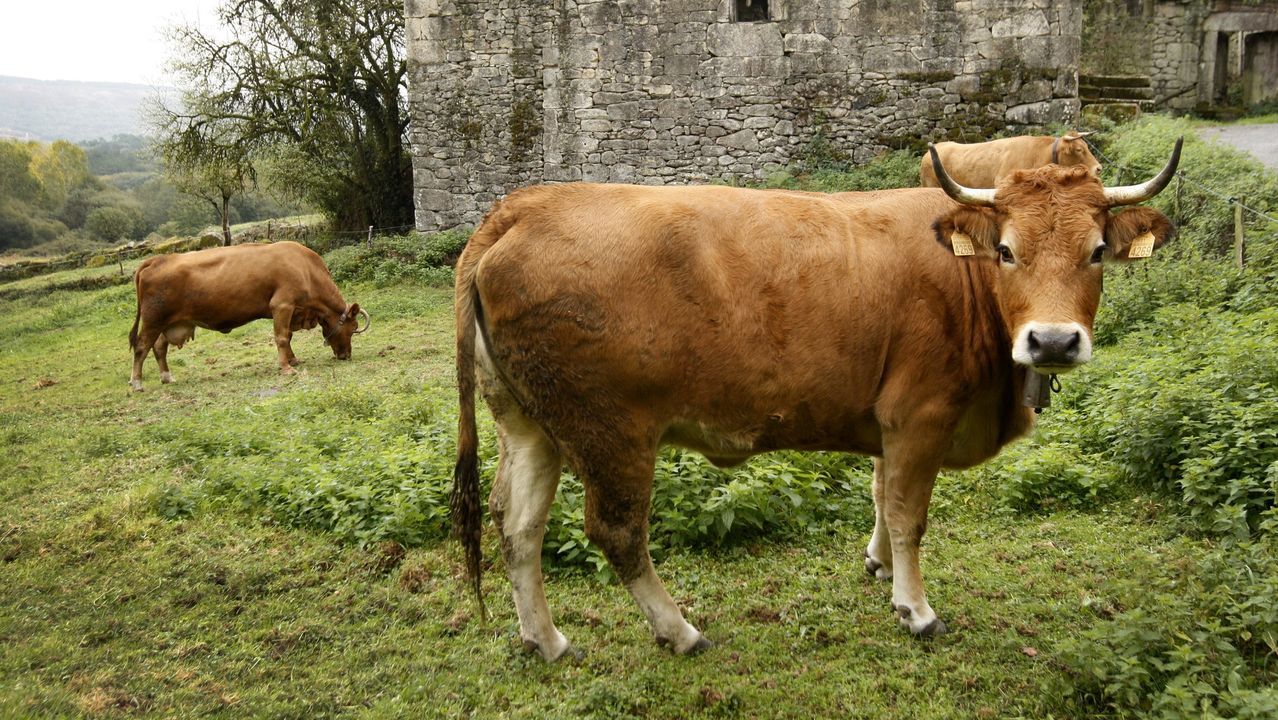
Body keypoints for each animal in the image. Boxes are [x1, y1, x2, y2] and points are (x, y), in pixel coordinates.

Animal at [127, 241, 368, 392]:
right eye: (352, 329)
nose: (346, 355)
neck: (306, 269)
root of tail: (157, 260)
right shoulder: (282, 305)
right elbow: (282, 338)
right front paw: (286, 368)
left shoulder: (291, 311)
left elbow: (288, 337)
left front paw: (293, 360)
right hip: (153, 321)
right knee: (141, 347)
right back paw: (137, 382)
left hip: (166, 323)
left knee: (159, 347)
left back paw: (166, 376)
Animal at [451, 140, 1182, 661]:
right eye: (1006, 250)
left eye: (1096, 252)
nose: (1053, 340)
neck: (962, 276)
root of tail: (521, 207)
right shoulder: (921, 414)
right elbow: (910, 514)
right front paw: (916, 609)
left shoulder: (891, 420)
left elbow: (882, 494)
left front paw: (879, 565)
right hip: (610, 432)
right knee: (616, 532)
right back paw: (680, 630)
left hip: (529, 424)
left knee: (516, 525)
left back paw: (546, 641)